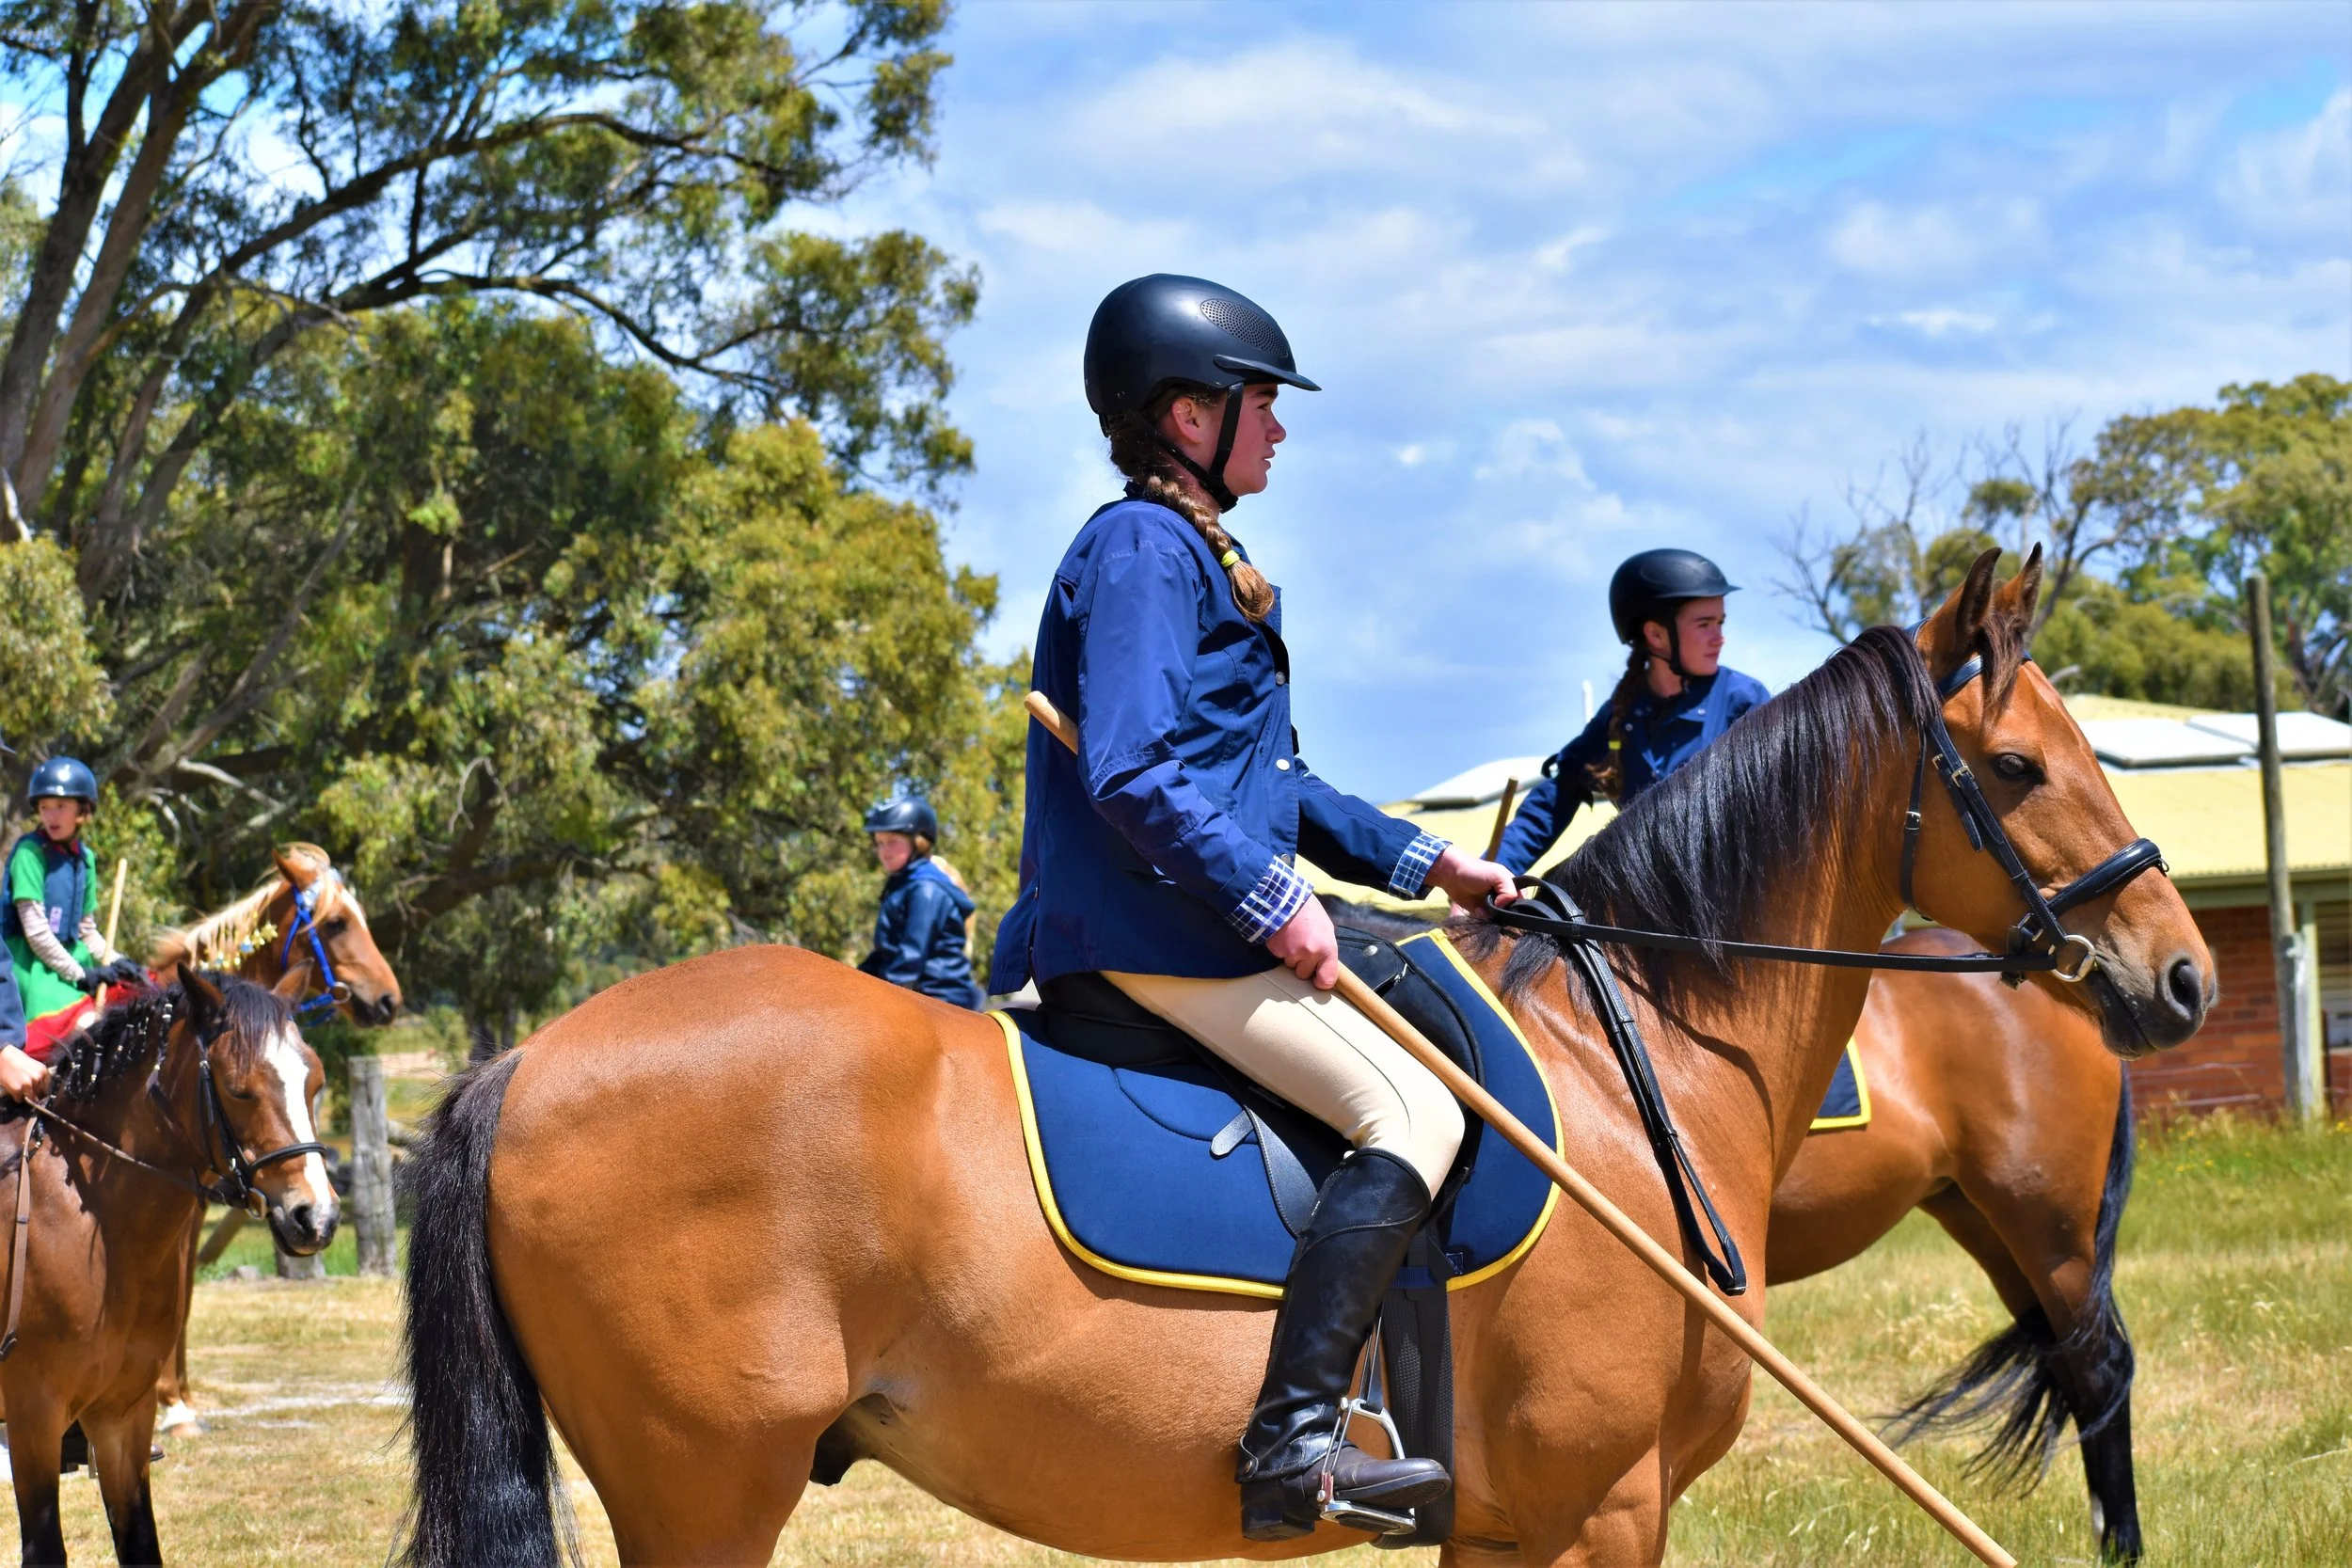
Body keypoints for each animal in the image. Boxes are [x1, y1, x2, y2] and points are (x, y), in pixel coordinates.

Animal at [0, 972, 337, 1565]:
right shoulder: (32, 1418)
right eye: (238, 1089)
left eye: (314, 1082)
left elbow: (140, 1543)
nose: (315, 1217)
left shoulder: (122, 1417)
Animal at [397, 552, 2212, 1566]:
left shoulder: (1510, 1524)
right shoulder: (1598, 1508)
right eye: (2020, 767)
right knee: (2100, 1366)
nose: (2180, 972)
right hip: (709, 1487)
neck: (1638, 1063)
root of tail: (526, 1060)